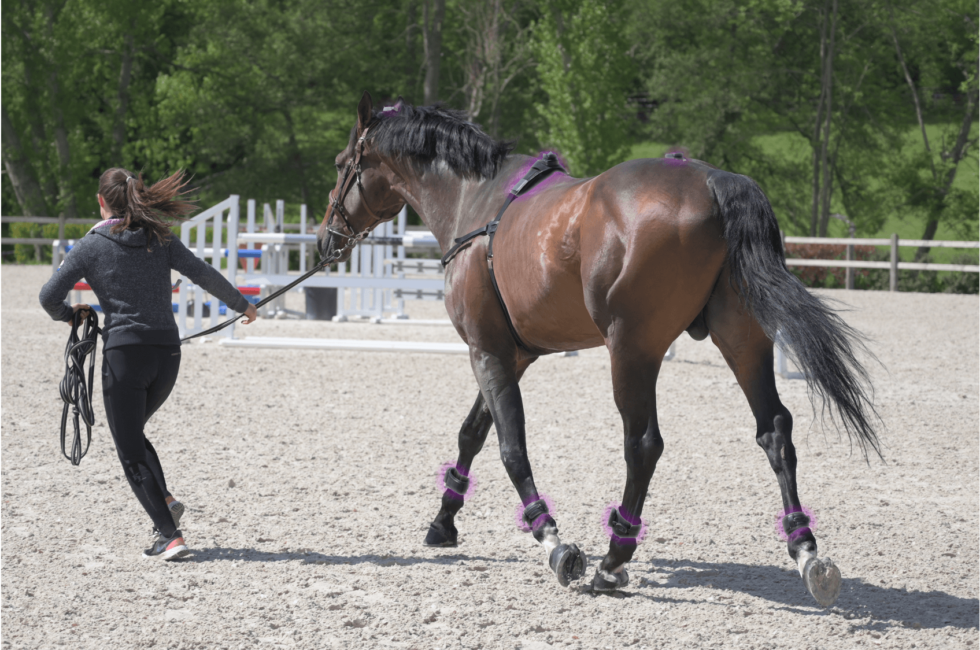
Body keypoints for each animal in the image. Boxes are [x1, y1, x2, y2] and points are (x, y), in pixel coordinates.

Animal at [317, 91, 880, 606]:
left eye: (342, 165)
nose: (326, 241)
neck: (474, 201)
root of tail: (715, 181)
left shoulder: (486, 350)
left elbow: (510, 446)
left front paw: (552, 541)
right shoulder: (510, 353)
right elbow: (473, 433)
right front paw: (443, 521)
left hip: (632, 349)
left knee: (643, 445)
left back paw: (613, 559)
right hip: (743, 339)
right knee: (774, 430)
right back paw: (806, 551)